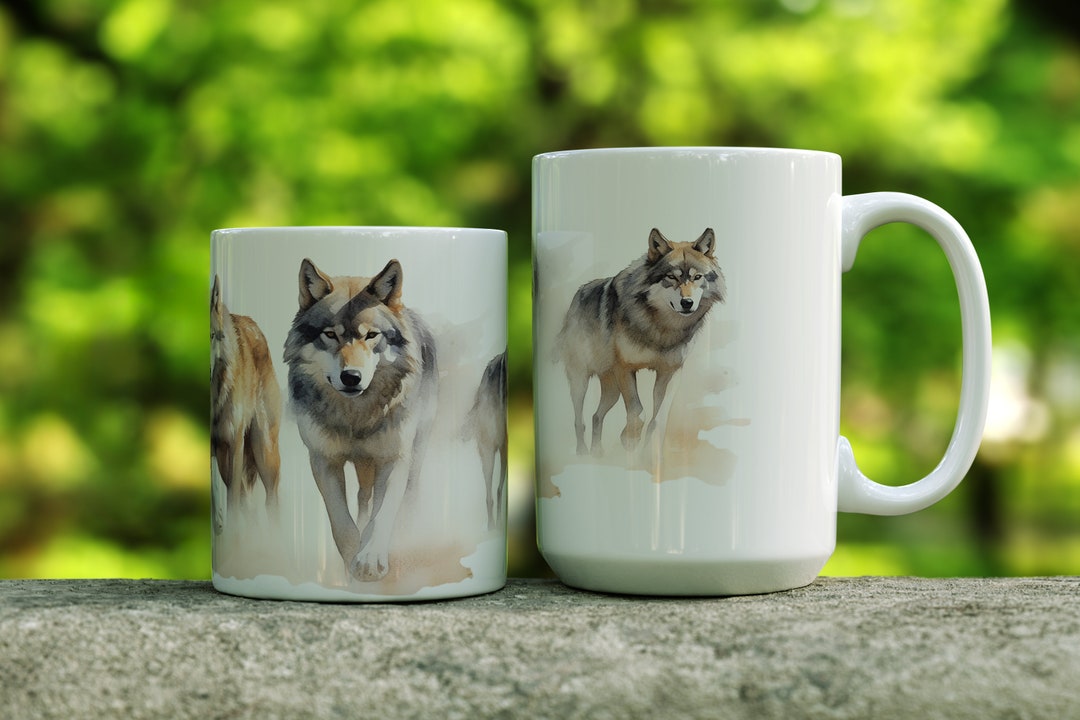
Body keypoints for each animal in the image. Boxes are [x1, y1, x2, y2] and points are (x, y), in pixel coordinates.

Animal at [210, 275, 282, 533]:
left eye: (211, 336)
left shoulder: (233, 442)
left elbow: (232, 501)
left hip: (264, 456)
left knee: (271, 502)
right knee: (249, 508)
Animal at [284, 258, 437, 582]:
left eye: (371, 335)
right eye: (331, 335)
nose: (351, 377)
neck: (357, 417)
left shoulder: (393, 458)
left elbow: (383, 515)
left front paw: (369, 559)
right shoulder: (323, 459)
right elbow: (341, 521)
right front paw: (352, 561)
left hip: (414, 455)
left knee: (405, 499)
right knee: (363, 497)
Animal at [555, 228, 725, 456]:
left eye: (697, 277)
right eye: (671, 277)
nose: (687, 303)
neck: (661, 330)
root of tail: (577, 294)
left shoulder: (670, 372)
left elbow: (658, 419)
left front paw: (648, 453)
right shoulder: (625, 368)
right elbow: (638, 411)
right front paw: (629, 439)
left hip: (612, 391)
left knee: (596, 416)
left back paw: (597, 454)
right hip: (580, 380)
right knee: (579, 419)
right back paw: (583, 453)